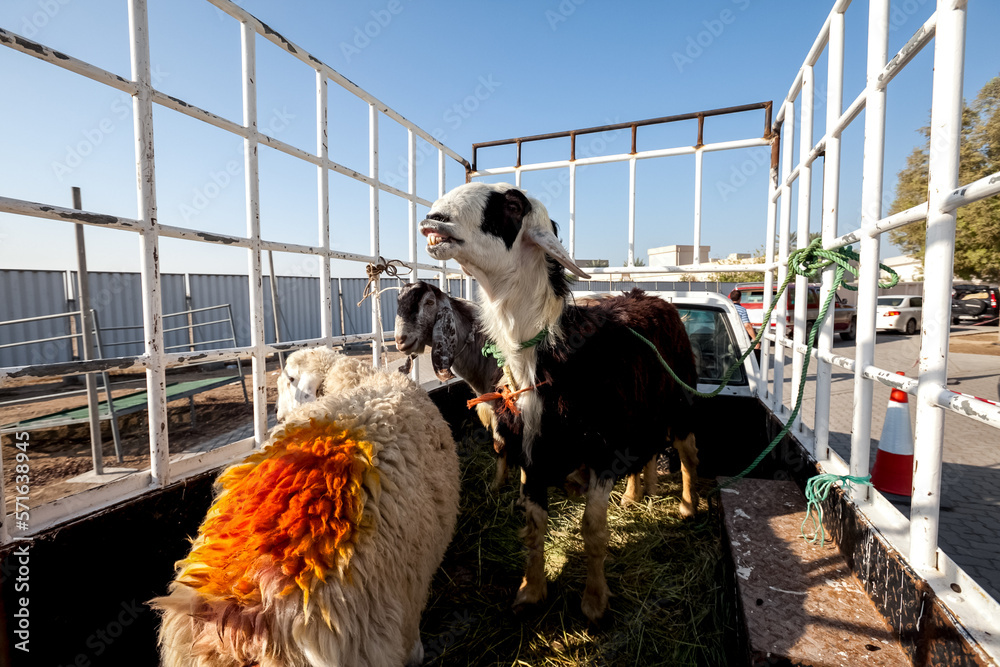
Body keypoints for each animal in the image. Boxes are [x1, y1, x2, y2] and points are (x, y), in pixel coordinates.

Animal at [419, 181, 699, 623]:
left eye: (512, 204)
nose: (434, 219)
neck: (547, 356)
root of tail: (653, 297)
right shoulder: (531, 460)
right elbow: (534, 529)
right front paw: (531, 592)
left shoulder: (601, 455)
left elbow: (593, 532)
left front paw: (594, 602)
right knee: (648, 454)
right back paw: (636, 494)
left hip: (680, 402)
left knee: (687, 453)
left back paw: (687, 507)